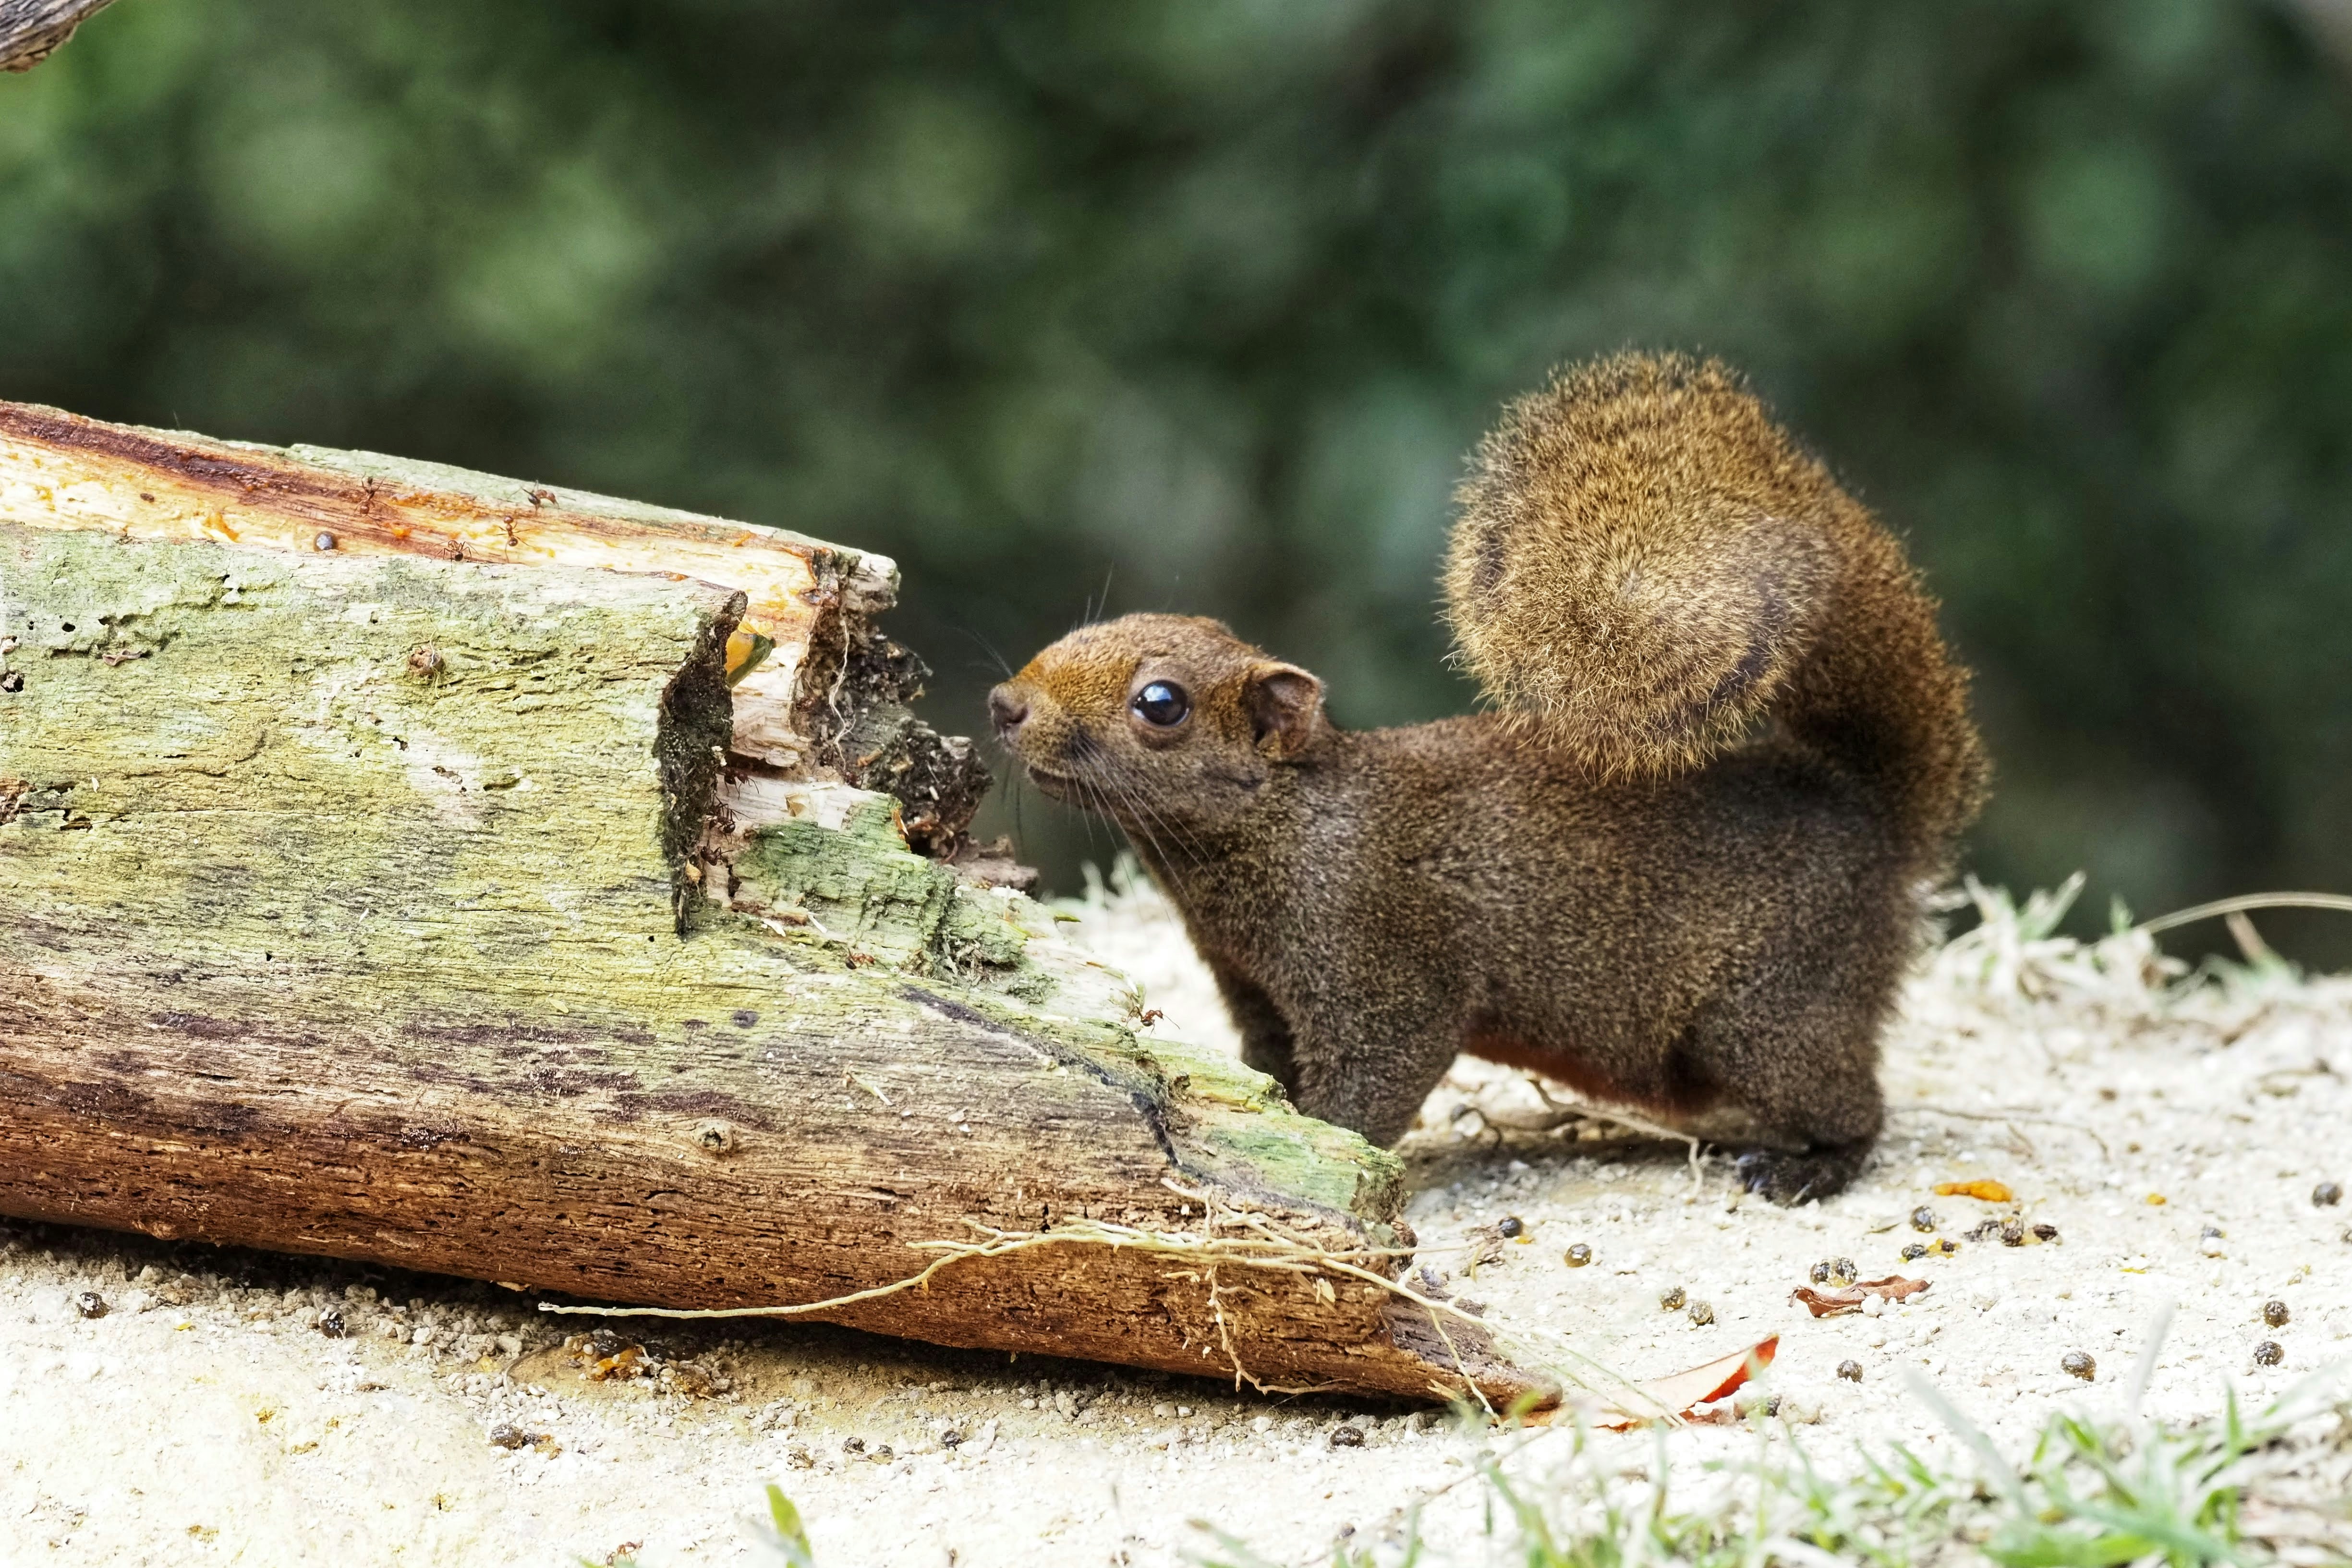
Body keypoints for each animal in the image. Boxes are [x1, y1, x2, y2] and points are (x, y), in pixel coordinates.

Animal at [987, 353, 1987, 1203]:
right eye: (1087, 628)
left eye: (1160, 703)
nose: (1002, 703)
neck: (1286, 833)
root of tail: (1872, 811)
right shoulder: (1256, 990)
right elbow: (1271, 1069)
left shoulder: (1380, 965)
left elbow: (1370, 1088)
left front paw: (1321, 1157)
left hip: (1771, 1012)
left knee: (1854, 1105)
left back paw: (1808, 1166)